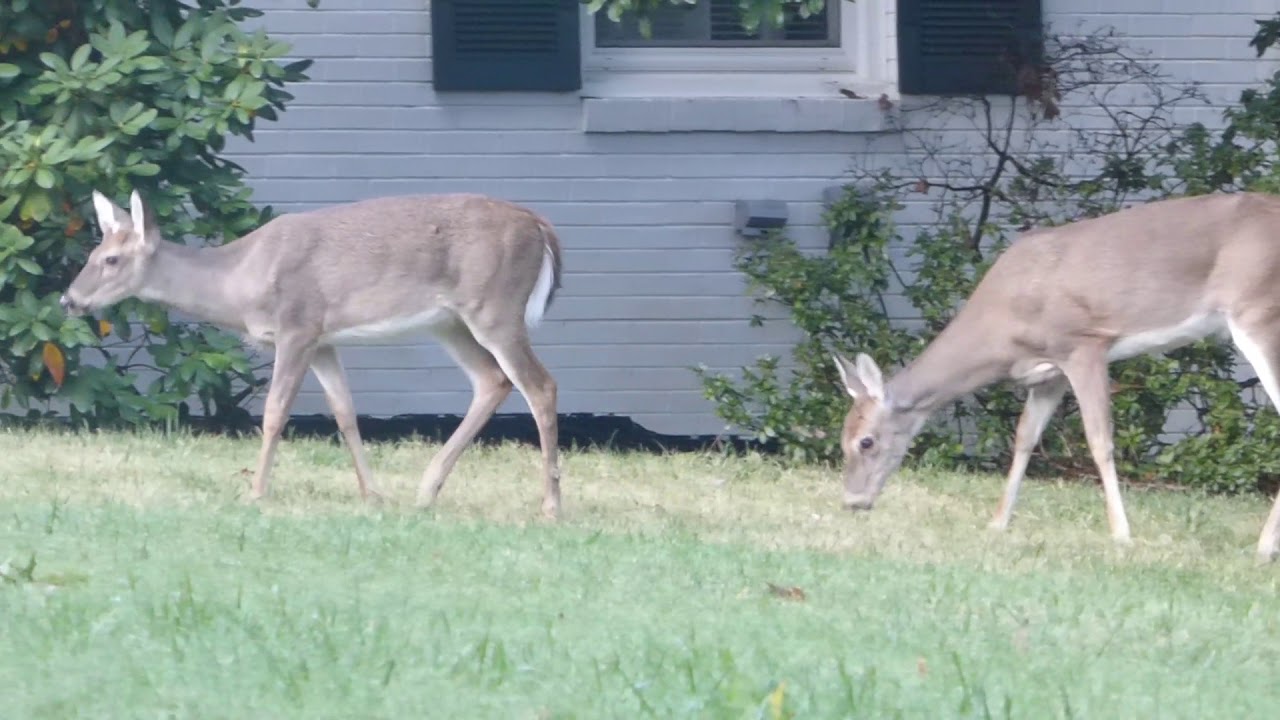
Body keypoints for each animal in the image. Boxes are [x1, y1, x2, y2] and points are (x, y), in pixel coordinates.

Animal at [60, 189, 565, 518]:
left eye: (111, 260)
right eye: (92, 253)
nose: (69, 299)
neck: (239, 281)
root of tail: (540, 226)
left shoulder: (298, 326)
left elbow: (274, 412)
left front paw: (255, 492)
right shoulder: (323, 340)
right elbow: (344, 412)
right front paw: (372, 494)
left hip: (495, 305)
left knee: (540, 385)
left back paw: (551, 504)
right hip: (450, 322)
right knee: (492, 380)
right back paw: (426, 491)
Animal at [831, 191, 1280, 562]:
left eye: (866, 441)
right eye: (841, 439)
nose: (852, 501)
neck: (1003, 326)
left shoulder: (1082, 345)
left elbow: (1099, 440)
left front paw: (1121, 533)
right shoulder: (1048, 374)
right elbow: (1025, 437)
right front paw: (997, 522)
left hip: (1258, 314)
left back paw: (1262, 548)